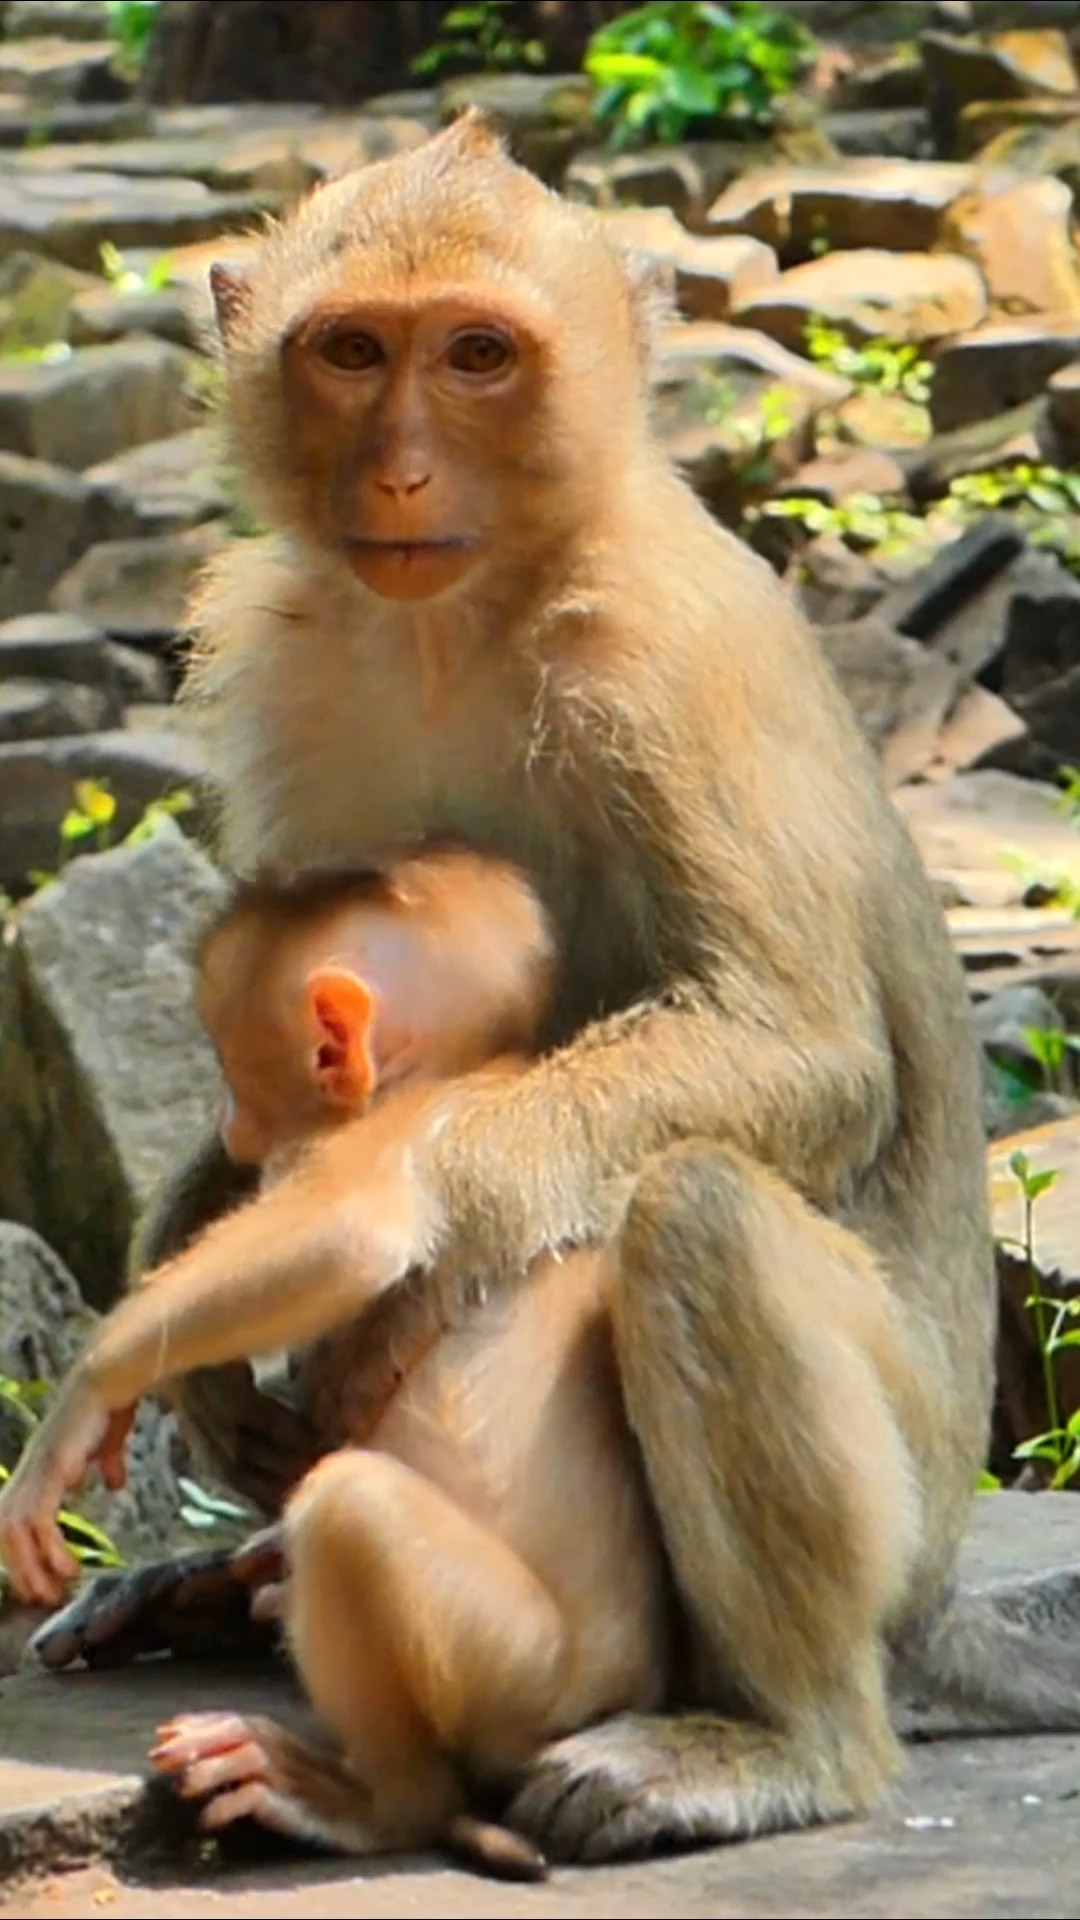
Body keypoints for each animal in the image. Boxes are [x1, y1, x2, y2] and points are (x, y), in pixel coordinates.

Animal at [0, 850, 670, 1878]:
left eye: (234, 1066)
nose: (229, 1125)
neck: (460, 1070)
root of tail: (624, 1690)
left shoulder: (385, 1130)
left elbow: (355, 1232)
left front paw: (92, 1385)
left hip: (524, 1676)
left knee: (350, 1513)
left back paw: (374, 1802)